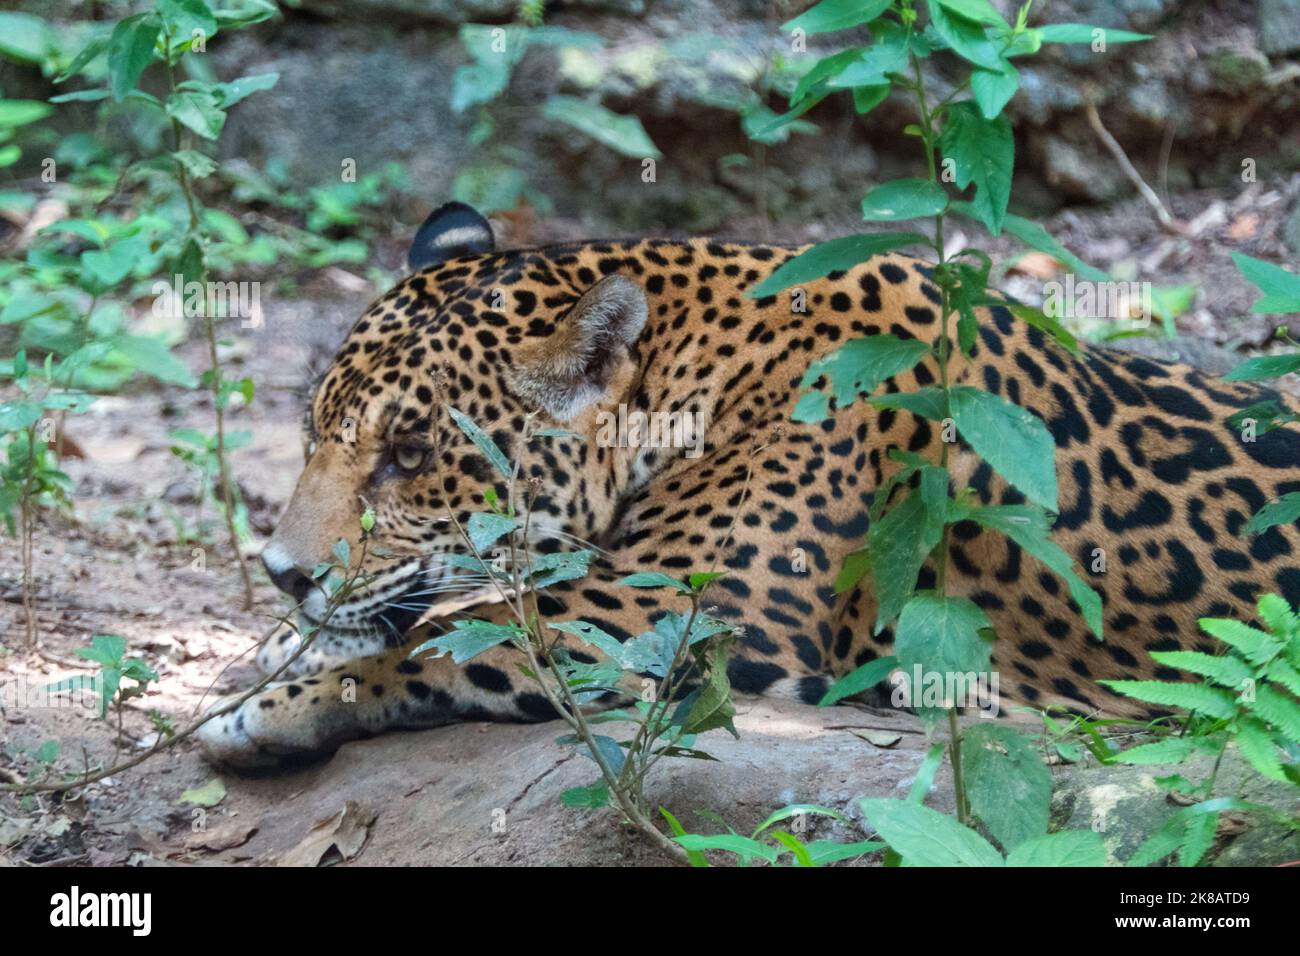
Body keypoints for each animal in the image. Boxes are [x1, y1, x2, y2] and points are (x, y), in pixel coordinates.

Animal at [197, 201, 1300, 766]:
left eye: (413, 454)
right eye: (313, 432)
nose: (283, 572)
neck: (702, 362)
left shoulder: (679, 607)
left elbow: (455, 636)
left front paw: (270, 706)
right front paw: (276, 644)